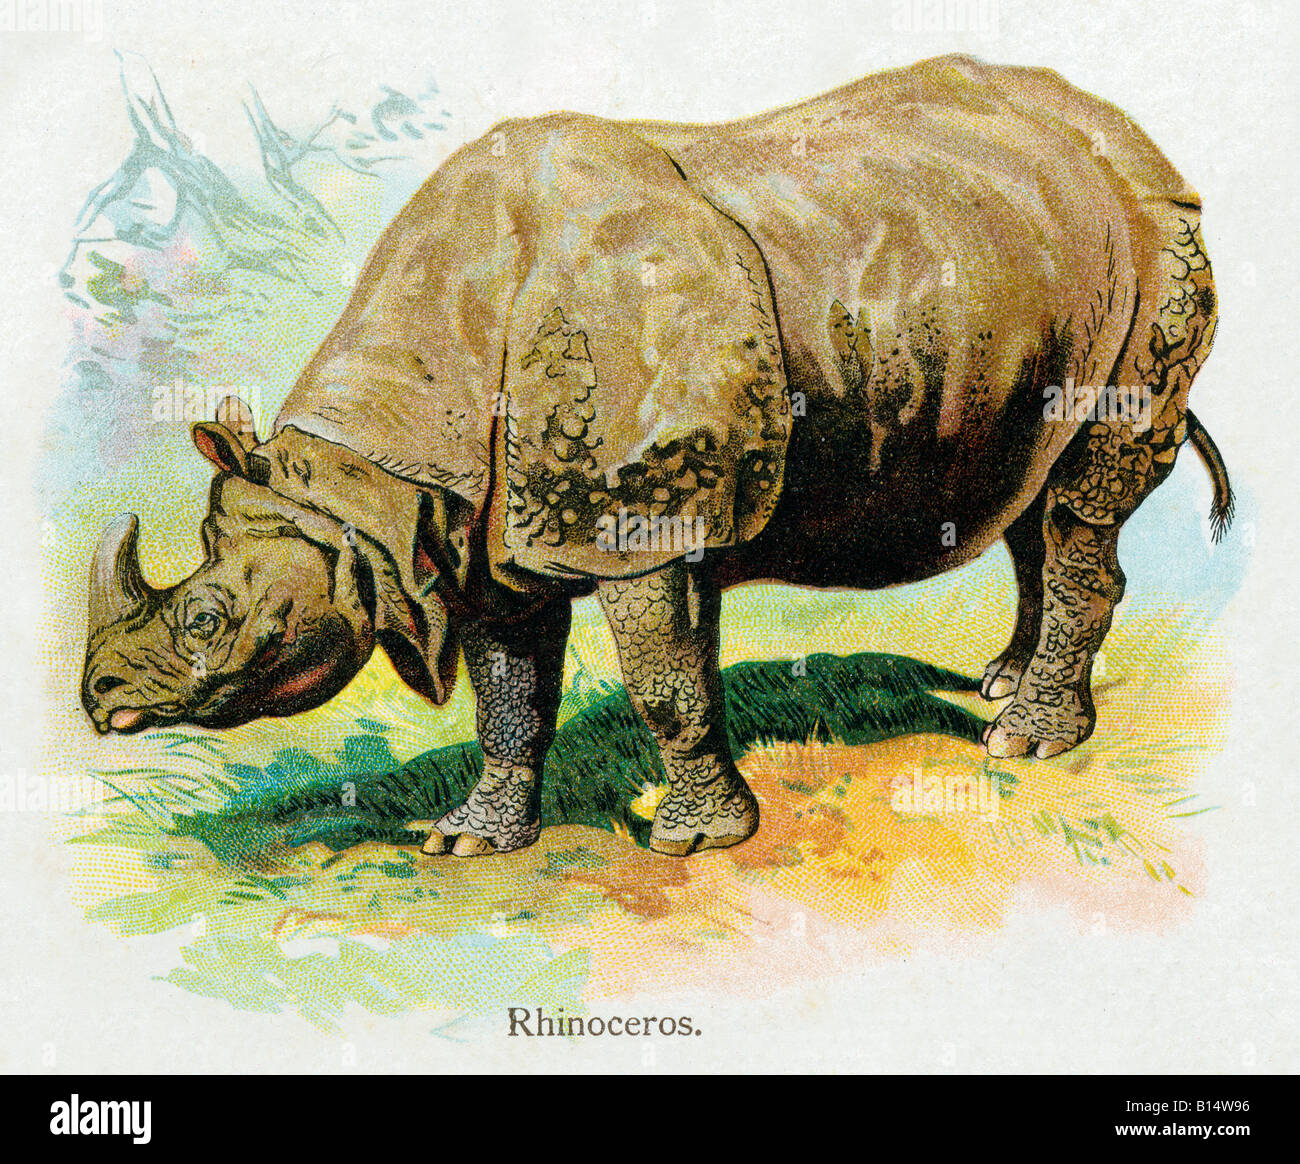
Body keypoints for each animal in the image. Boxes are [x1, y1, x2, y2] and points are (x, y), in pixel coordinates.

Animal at [82, 56, 1231, 857]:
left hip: (1155, 242)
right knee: (1037, 496)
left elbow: (663, 686)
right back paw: (1000, 688)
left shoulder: (635, 524)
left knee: (1081, 499)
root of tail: (1130, 143)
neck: (375, 491)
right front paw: (470, 841)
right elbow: (511, 699)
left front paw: (697, 841)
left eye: (205, 618)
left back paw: (1024, 743)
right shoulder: (485, 537)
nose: (96, 699)